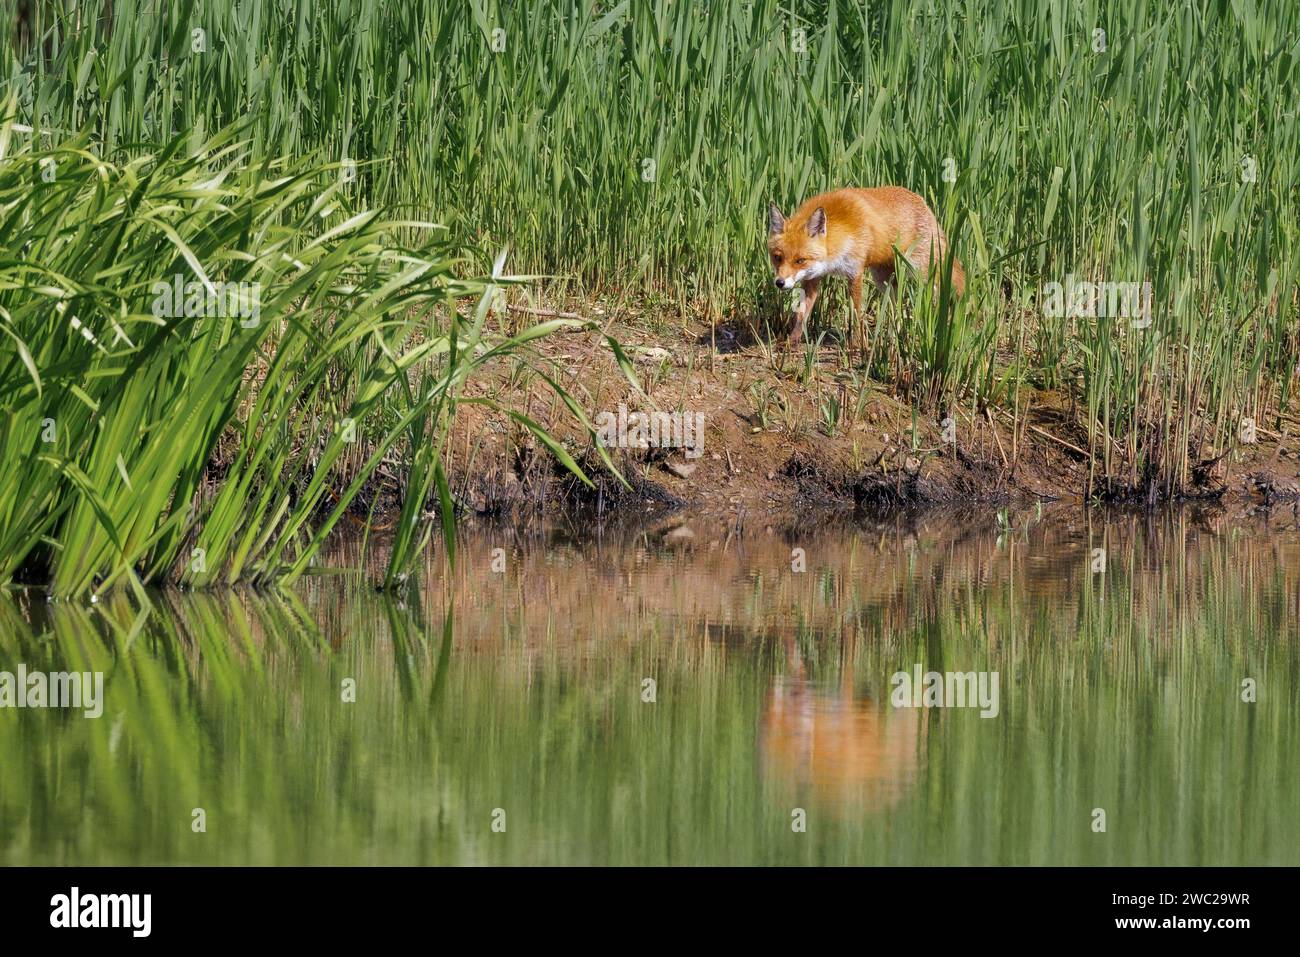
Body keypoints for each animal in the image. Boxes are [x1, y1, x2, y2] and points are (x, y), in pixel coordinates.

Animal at [767, 187, 964, 346]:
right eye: (777, 257)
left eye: (800, 260)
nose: (780, 283)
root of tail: (923, 203)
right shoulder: (813, 278)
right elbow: (802, 314)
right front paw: (791, 341)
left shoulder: (855, 272)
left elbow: (856, 313)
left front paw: (857, 344)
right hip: (884, 281)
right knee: (895, 308)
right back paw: (893, 336)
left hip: (921, 272)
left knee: (939, 291)